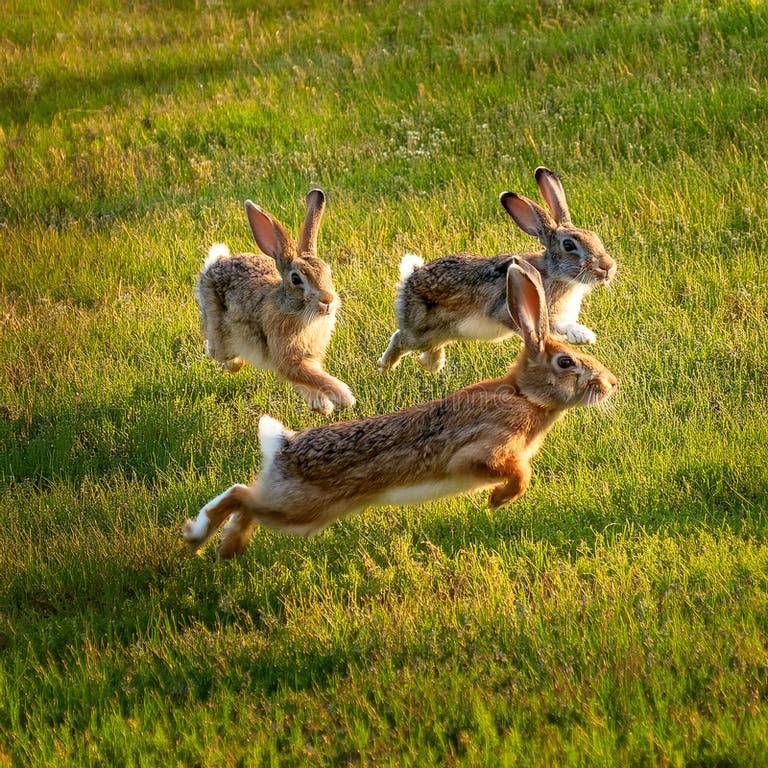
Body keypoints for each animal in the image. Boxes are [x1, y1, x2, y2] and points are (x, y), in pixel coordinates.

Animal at [182, 257, 617, 559]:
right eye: (566, 362)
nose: (610, 382)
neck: (524, 395)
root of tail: (282, 445)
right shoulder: (483, 451)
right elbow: (519, 474)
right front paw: (496, 501)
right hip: (300, 509)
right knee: (241, 496)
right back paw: (197, 536)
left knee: (245, 502)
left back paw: (227, 548)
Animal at [196, 189, 355, 416]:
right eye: (296, 279)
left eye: (328, 272)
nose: (328, 301)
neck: (296, 311)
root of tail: (215, 263)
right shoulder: (288, 358)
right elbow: (310, 375)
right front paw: (343, 396)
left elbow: (308, 378)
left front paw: (321, 405)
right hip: (219, 333)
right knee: (215, 350)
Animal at [377, 166, 617, 374]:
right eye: (568, 245)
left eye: (594, 236)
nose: (607, 266)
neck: (554, 273)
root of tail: (411, 276)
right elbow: (556, 326)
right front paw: (583, 335)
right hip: (421, 331)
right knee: (400, 338)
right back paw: (385, 366)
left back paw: (432, 365)